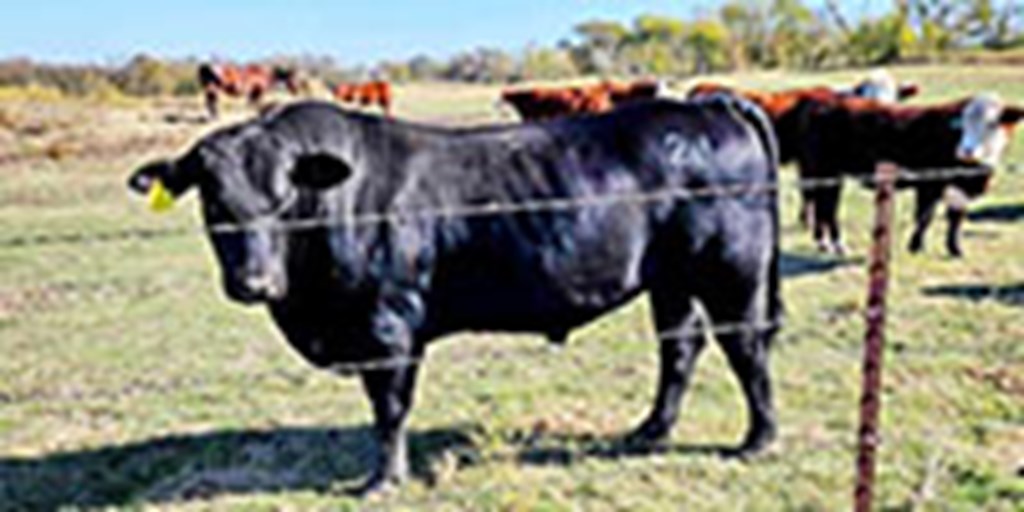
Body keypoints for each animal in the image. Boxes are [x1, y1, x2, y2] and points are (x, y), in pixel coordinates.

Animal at [126, 96, 783, 495]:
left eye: (285, 198)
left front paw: (383, 481)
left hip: (730, 272)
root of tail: (707, 105)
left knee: (746, 349)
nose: (255, 283)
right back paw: (651, 430)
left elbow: (389, 408)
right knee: (680, 346)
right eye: (214, 202)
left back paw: (759, 440)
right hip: (672, 282)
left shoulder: (388, 326)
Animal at [792, 93, 1023, 257]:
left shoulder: (959, 189)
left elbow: (956, 218)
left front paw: (955, 249)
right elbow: (925, 216)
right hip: (825, 169)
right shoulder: (929, 185)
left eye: (992, 123)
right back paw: (838, 245)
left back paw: (823, 242)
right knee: (828, 207)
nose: (966, 150)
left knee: (823, 205)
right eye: (962, 125)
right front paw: (915, 246)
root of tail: (820, 100)